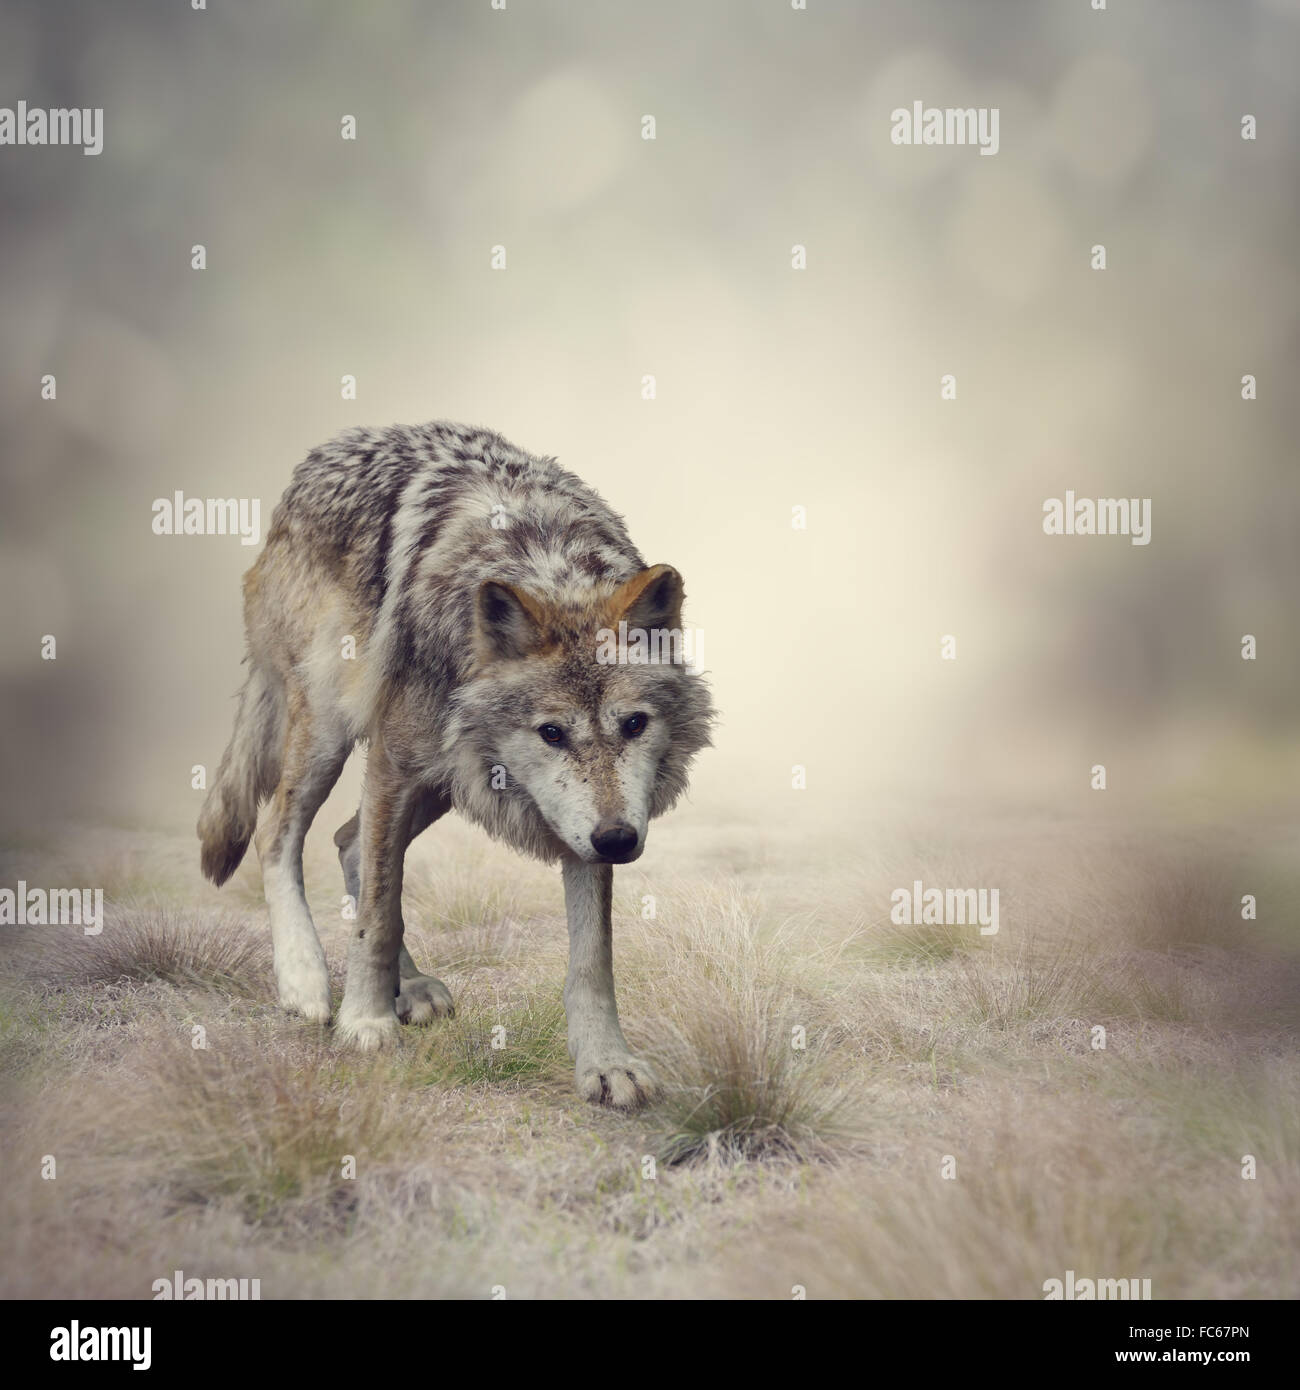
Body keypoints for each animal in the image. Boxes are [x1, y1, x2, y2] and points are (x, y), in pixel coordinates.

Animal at [198, 421, 713, 1109]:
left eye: (634, 725)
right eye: (551, 733)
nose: (618, 840)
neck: (544, 565)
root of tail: (310, 467)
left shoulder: (573, 823)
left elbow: (592, 957)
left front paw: (606, 1062)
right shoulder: (393, 762)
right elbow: (378, 915)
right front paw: (364, 1023)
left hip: (450, 777)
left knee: (348, 840)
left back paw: (409, 986)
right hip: (333, 730)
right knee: (278, 831)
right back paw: (305, 978)